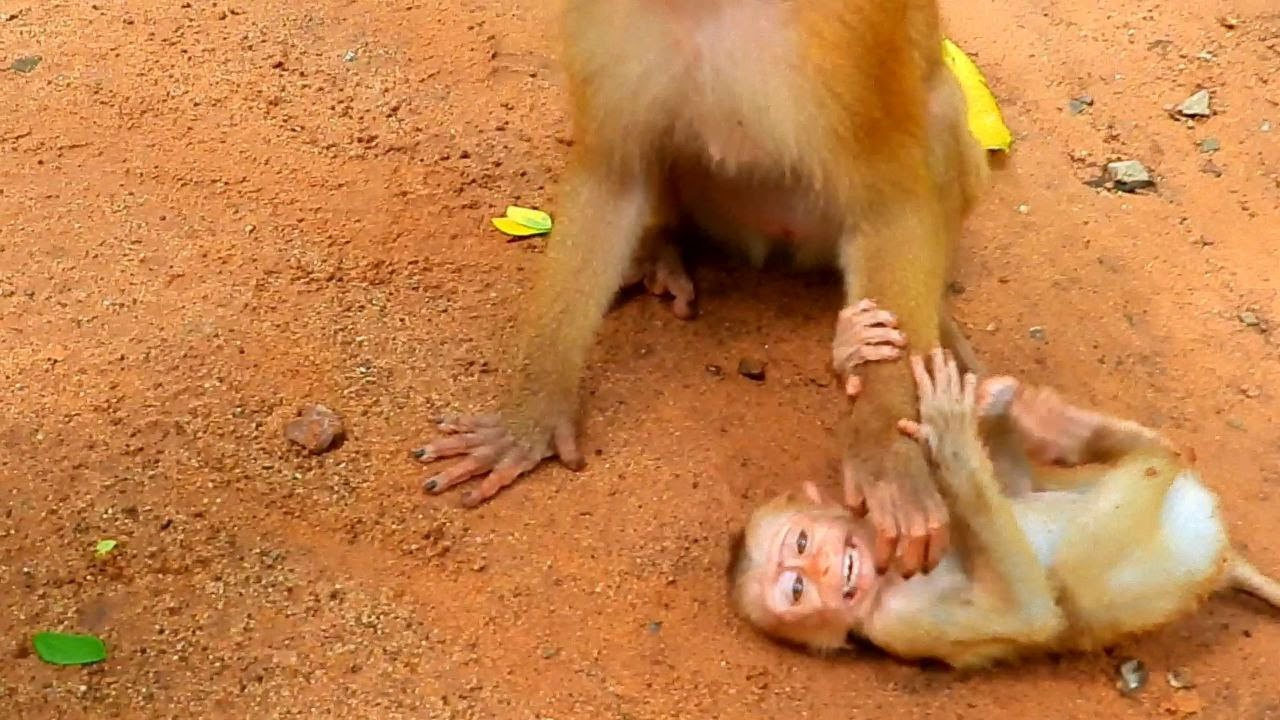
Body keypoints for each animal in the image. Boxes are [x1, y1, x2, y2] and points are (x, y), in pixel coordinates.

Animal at [414, 0, 990, 577]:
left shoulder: (853, 29)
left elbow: (891, 203)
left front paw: (886, 454)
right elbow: (613, 175)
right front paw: (528, 417)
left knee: (938, 111)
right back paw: (661, 247)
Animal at [727, 336, 1280, 669]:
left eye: (802, 542)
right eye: (797, 590)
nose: (823, 568)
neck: (884, 575)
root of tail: (1222, 559)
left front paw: (853, 349)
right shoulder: (896, 624)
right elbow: (1032, 615)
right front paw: (953, 441)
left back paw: (1049, 425)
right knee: (1077, 574)